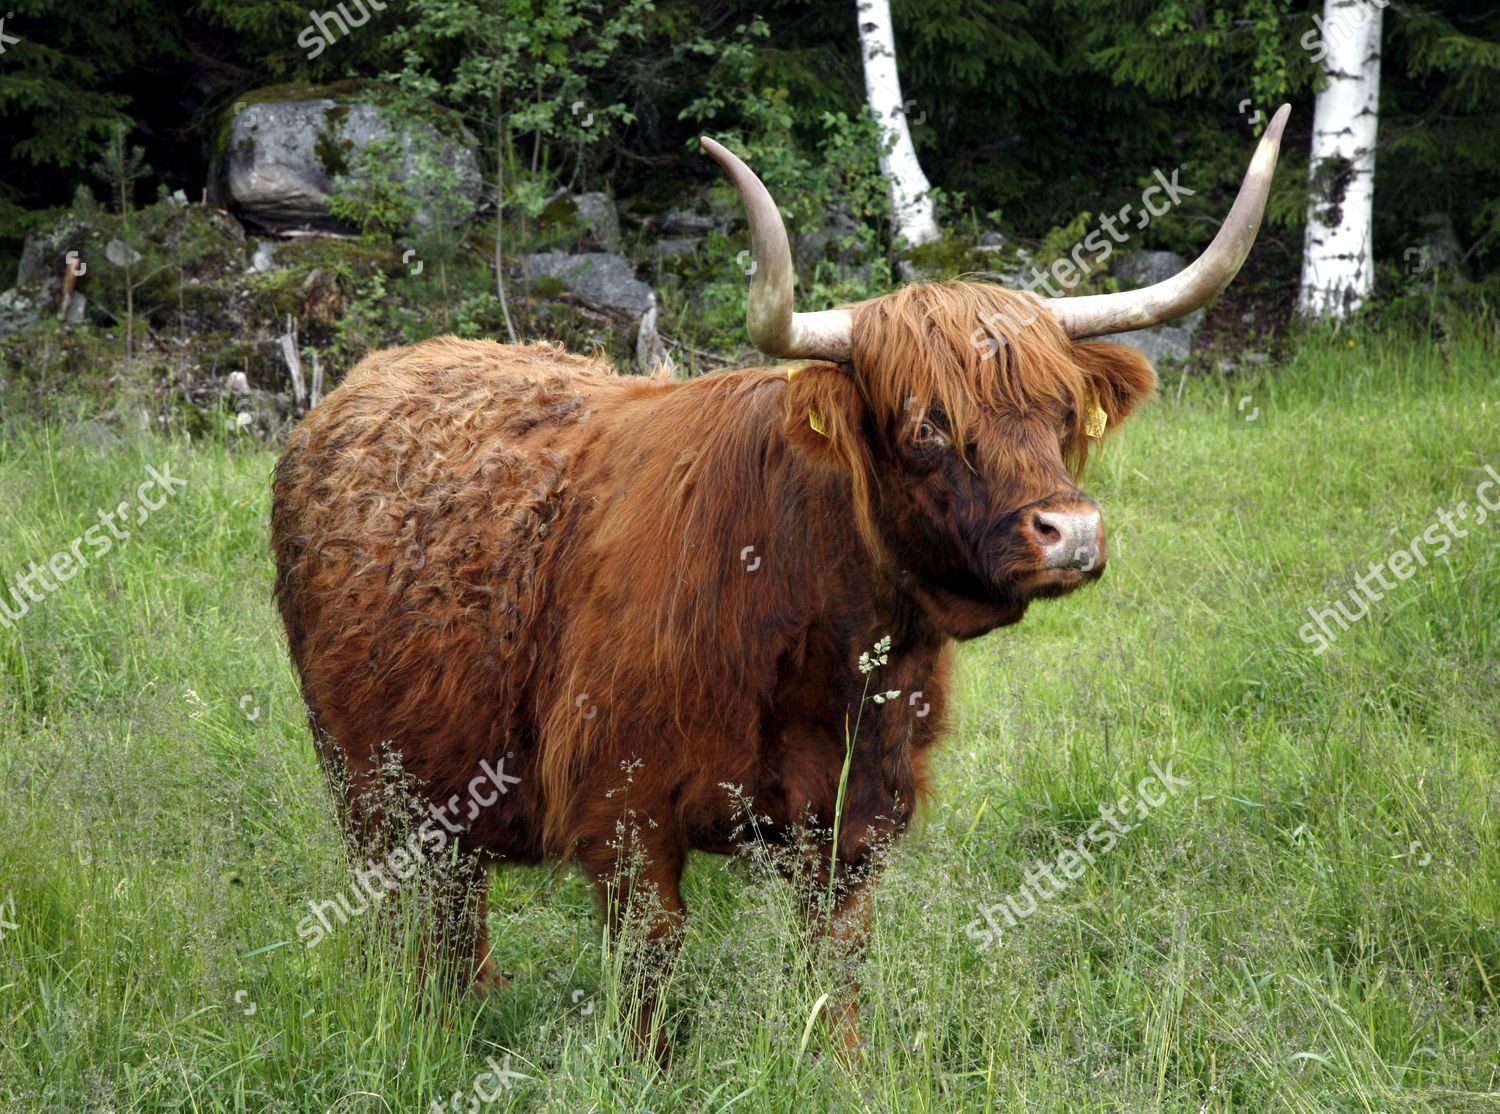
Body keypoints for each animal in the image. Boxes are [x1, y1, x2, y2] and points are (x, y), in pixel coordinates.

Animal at [270, 107, 1289, 1055]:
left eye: (1060, 412)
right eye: (925, 423)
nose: (1071, 531)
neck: (820, 645)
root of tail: (374, 375)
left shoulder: (856, 817)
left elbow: (836, 971)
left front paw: (844, 1064)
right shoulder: (620, 813)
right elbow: (650, 975)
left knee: (455, 889)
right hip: (360, 775)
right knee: (408, 899)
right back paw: (423, 1013)